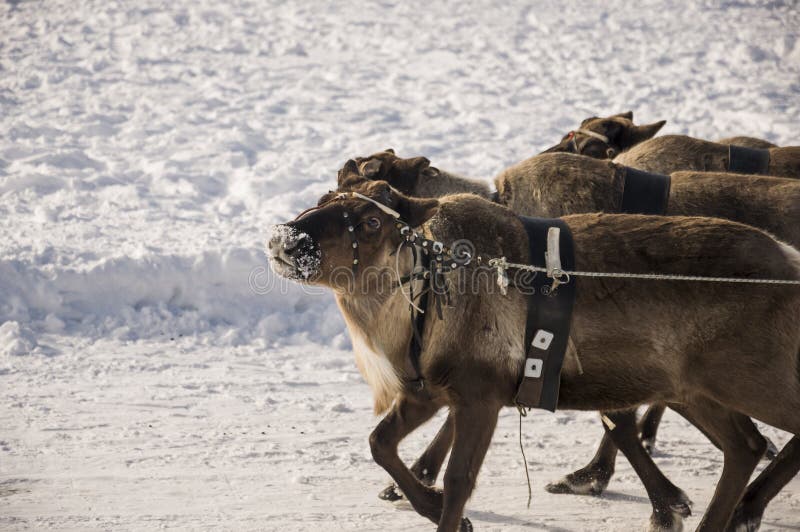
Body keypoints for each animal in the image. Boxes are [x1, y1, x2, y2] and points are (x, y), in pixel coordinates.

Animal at [269, 176, 800, 531]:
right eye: (322, 199)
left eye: (372, 219)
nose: (286, 238)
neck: (417, 306)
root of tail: (789, 260)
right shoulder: (430, 390)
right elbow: (379, 443)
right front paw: (433, 505)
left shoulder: (480, 395)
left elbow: (461, 480)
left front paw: (448, 511)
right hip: (695, 390)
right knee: (746, 445)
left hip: (752, 380)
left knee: (765, 437)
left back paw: (740, 510)